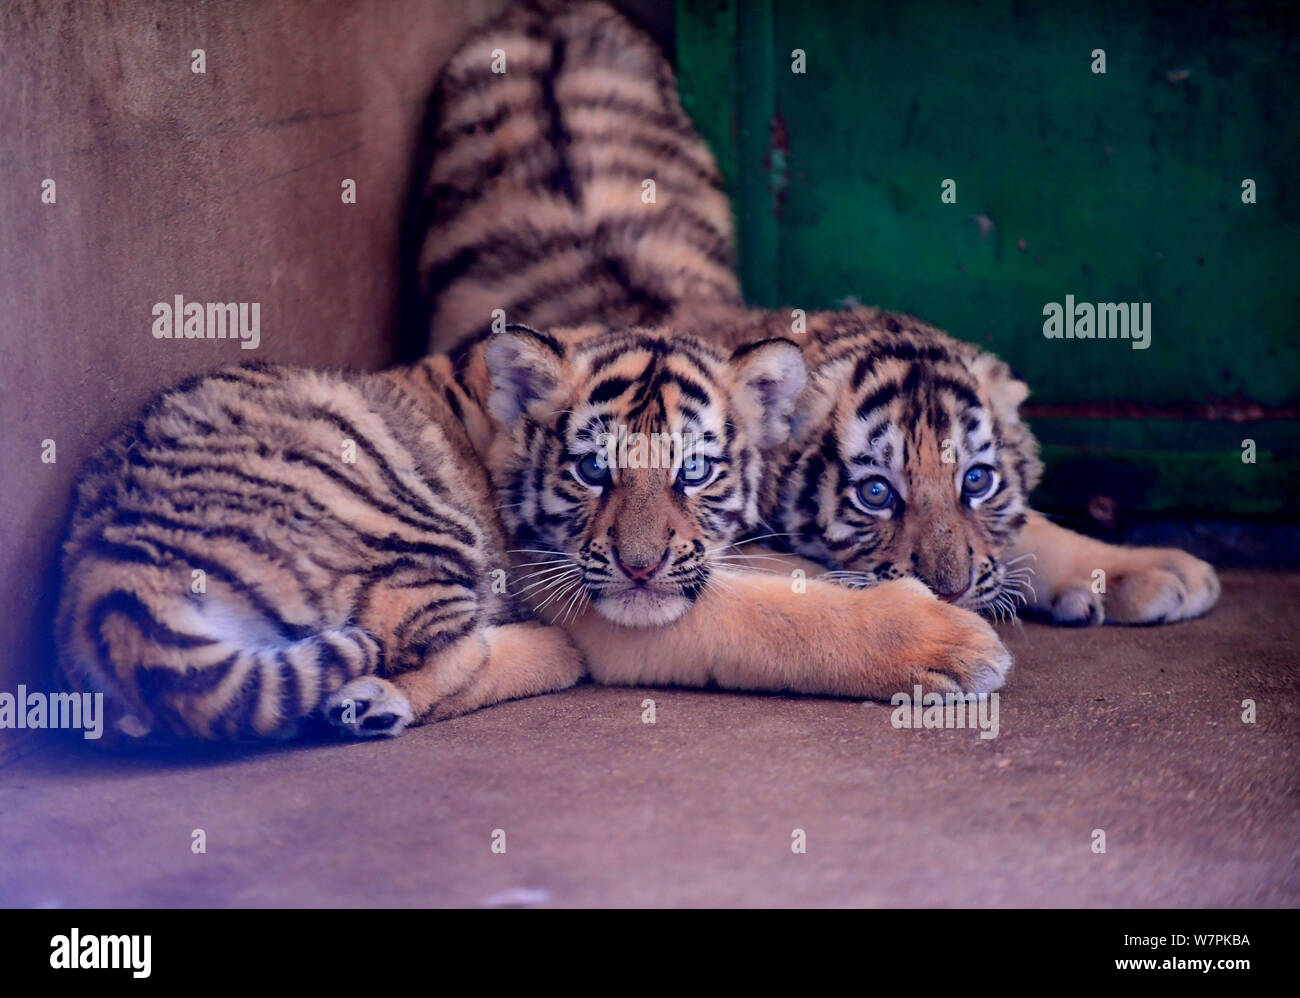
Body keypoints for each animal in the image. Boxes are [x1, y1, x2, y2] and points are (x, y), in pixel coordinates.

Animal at [57, 328, 1013, 744]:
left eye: (695, 471)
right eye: (592, 471)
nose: (639, 566)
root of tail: (111, 579)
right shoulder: (607, 602)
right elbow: (779, 618)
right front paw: (953, 646)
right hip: (410, 517)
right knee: (445, 649)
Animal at [413, 0, 1220, 628]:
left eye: (977, 481)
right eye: (874, 493)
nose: (952, 591)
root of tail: (545, 9)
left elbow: (1034, 528)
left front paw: (1157, 570)